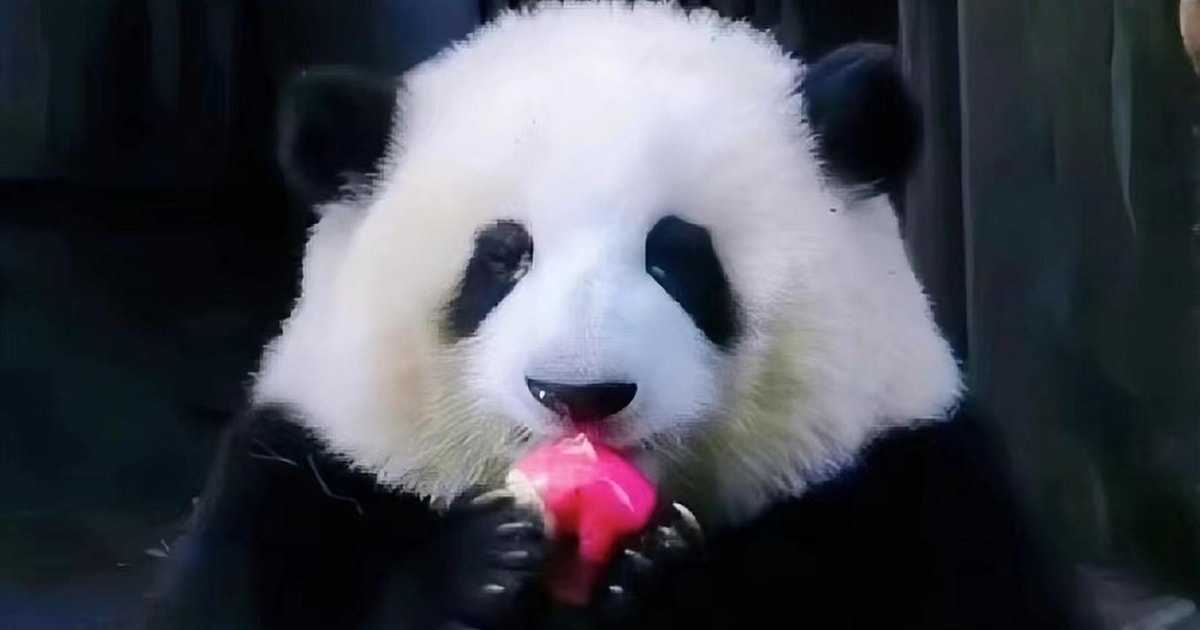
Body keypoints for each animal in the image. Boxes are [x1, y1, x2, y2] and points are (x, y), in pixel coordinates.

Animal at [146, 3, 1083, 629]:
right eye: (502, 258)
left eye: (678, 256)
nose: (580, 393)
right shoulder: (298, 482)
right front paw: (479, 564)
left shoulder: (918, 490)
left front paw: (666, 574)